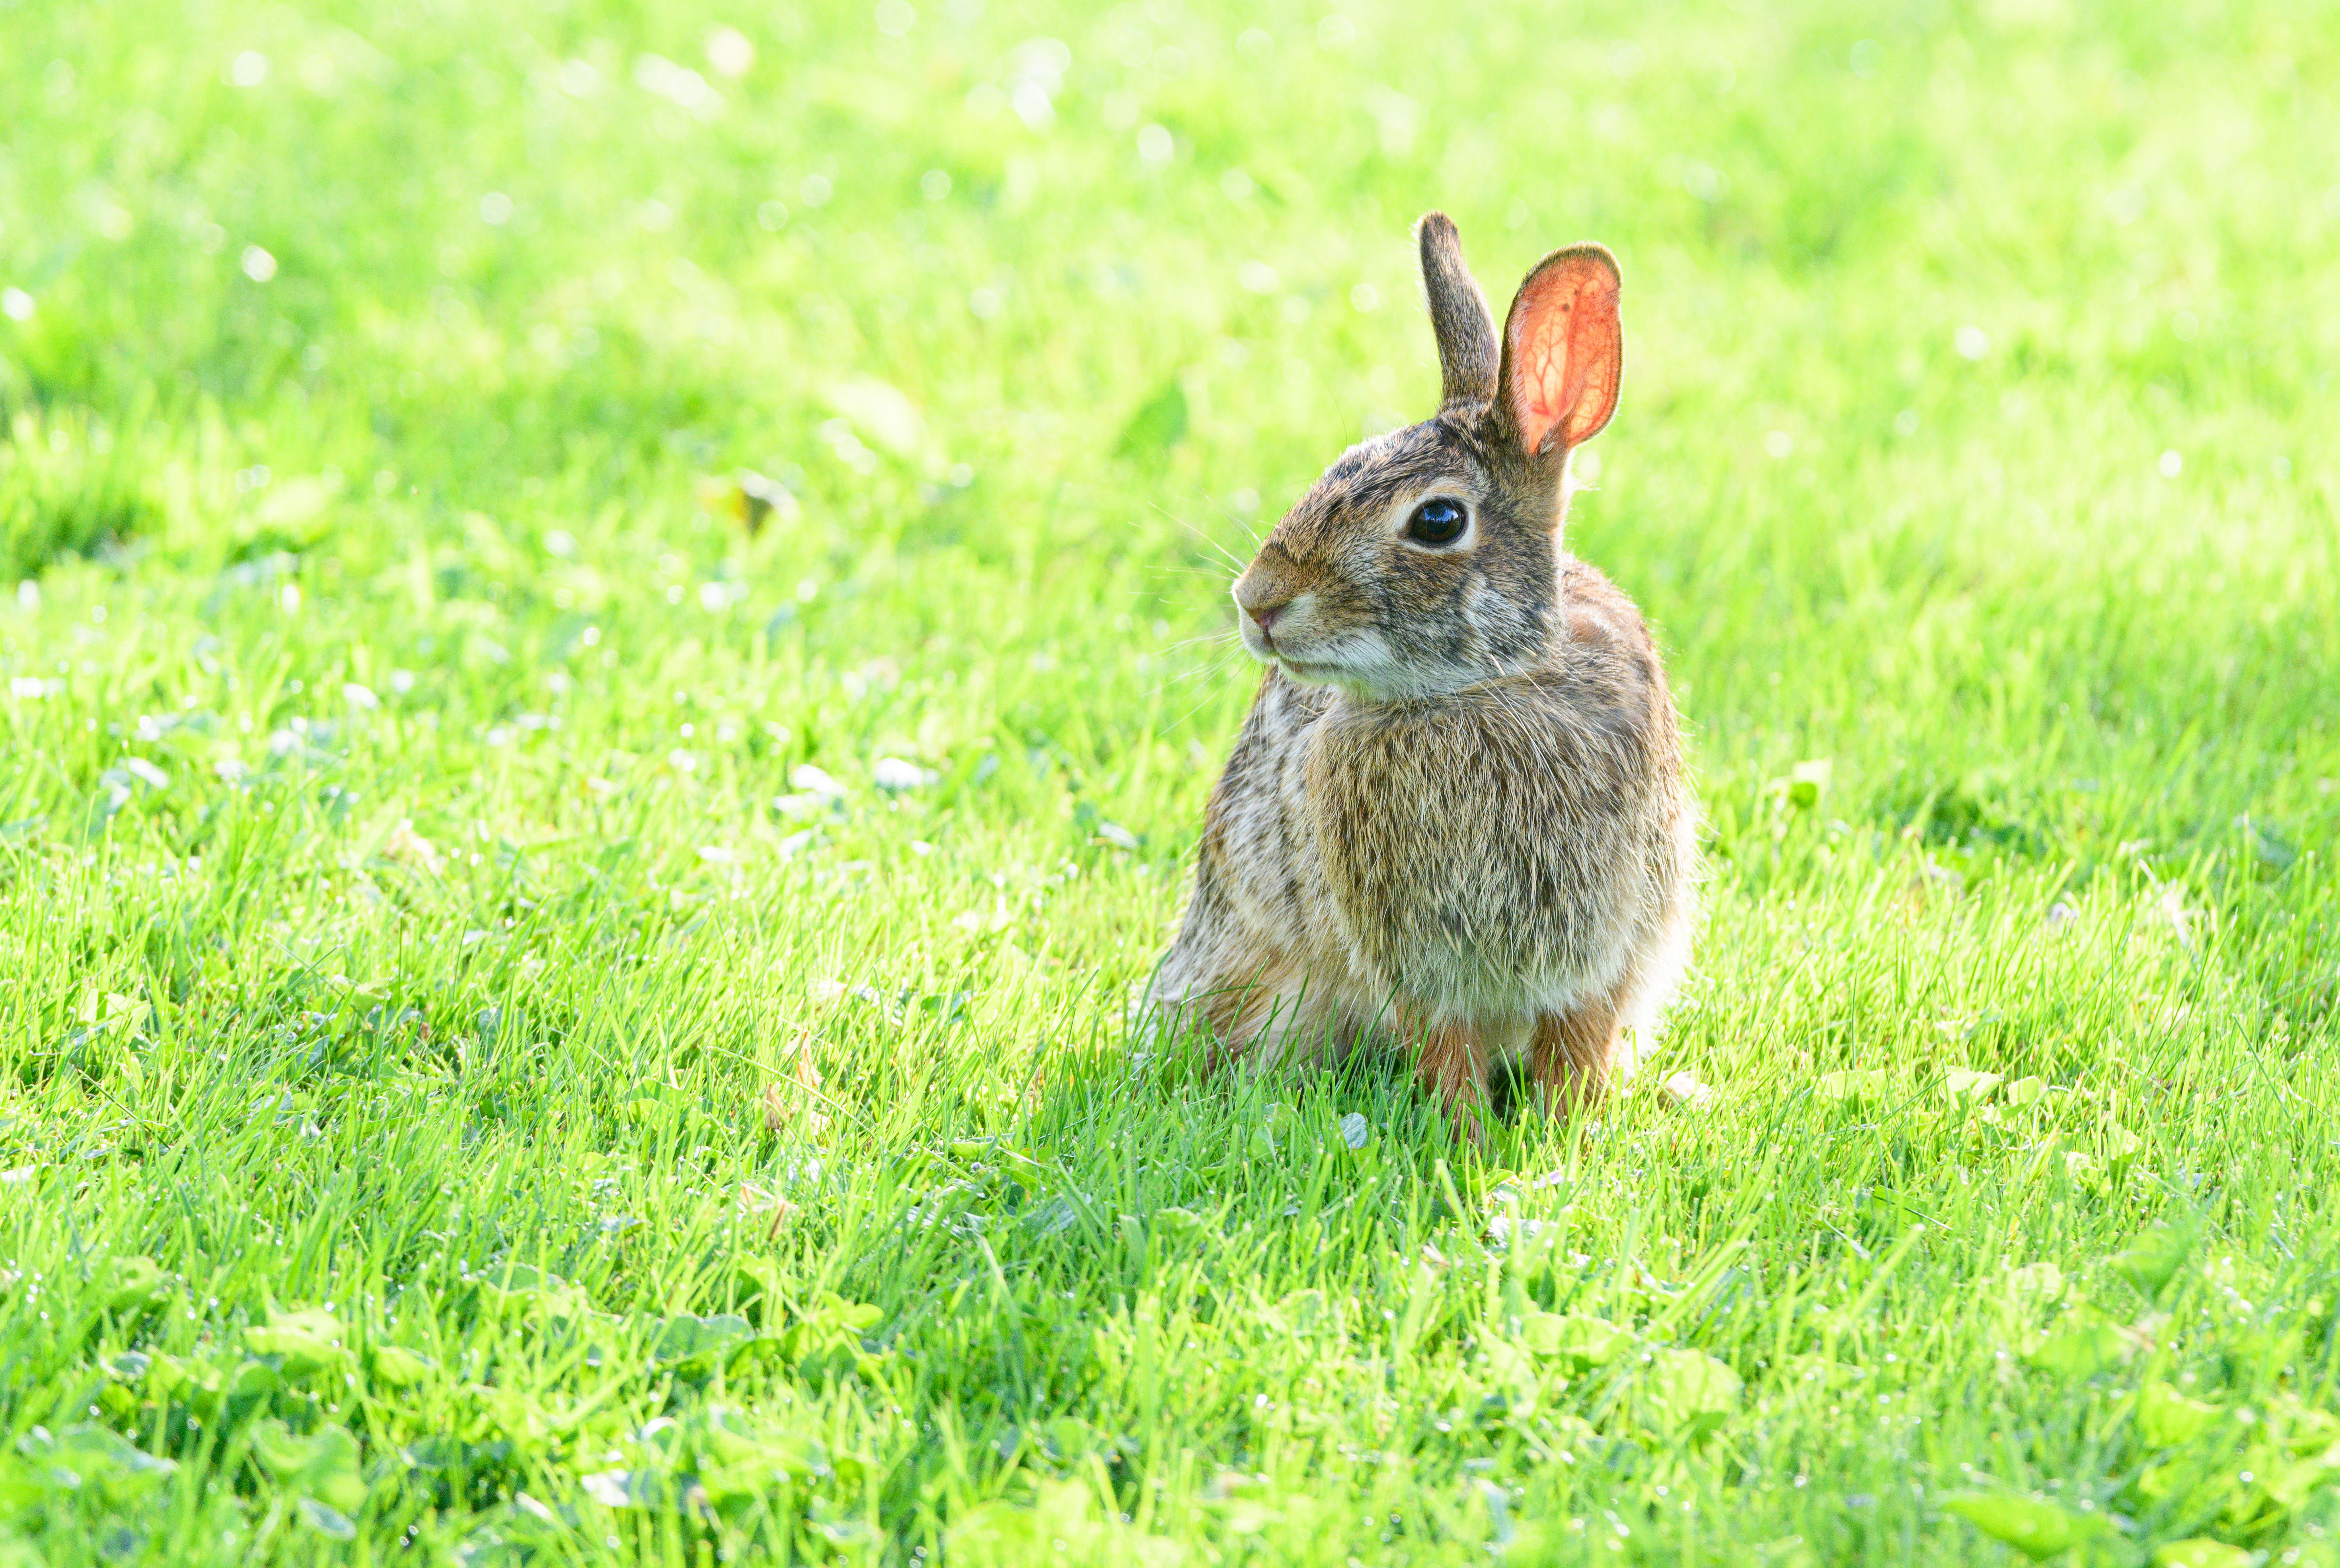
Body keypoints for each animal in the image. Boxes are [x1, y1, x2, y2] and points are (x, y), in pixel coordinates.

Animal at [1144, 211, 1698, 1142]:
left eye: (1437, 521)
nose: (1256, 600)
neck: (1483, 687)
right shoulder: (1417, 963)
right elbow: (1446, 1052)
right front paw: (1468, 1141)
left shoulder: (1608, 947)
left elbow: (1577, 1049)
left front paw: (1568, 1139)